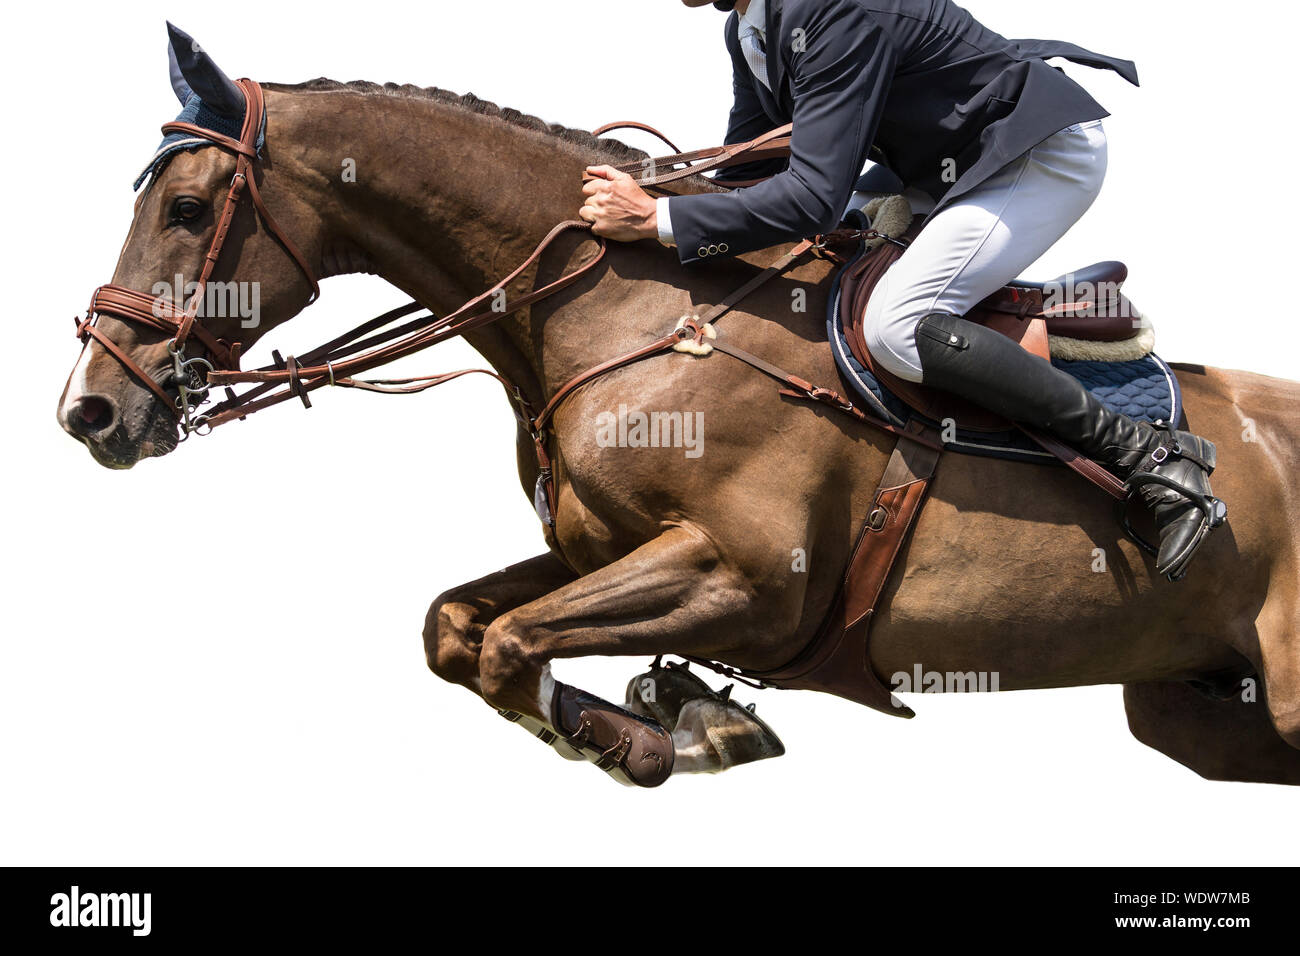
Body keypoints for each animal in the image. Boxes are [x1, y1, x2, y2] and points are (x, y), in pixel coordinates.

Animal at [57, 35, 1300, 786]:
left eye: (186, 207)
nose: (92, 411)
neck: (619, 300)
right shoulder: (602, 550)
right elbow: (459, 627)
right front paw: (676, 716)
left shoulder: (741, 575)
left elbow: (508, 644)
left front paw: (664, 736)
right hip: (1197, 710)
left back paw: (1172, 489)